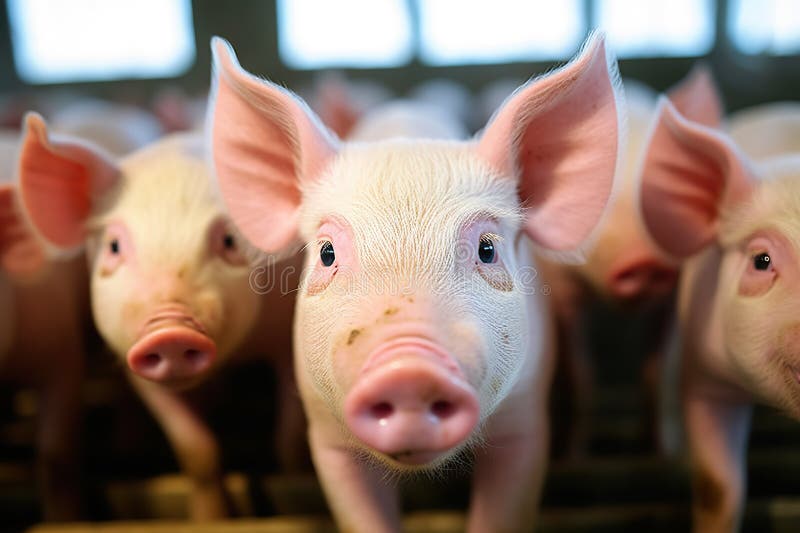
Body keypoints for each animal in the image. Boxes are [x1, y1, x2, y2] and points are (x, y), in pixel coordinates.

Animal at [16, 119, 305, 520]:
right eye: (114, 246)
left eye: (230, 241)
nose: (169, 332)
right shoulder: (132, 363)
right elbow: (195, 449)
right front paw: (209, 520)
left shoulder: (285, 337)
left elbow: (289, 435)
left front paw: (294, 474)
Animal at [536, 66, 724, 458]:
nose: (646, 261)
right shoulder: (559, 285)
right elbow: (581, 372)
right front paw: (572, 457)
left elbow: (657, 368)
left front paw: (665, 452)